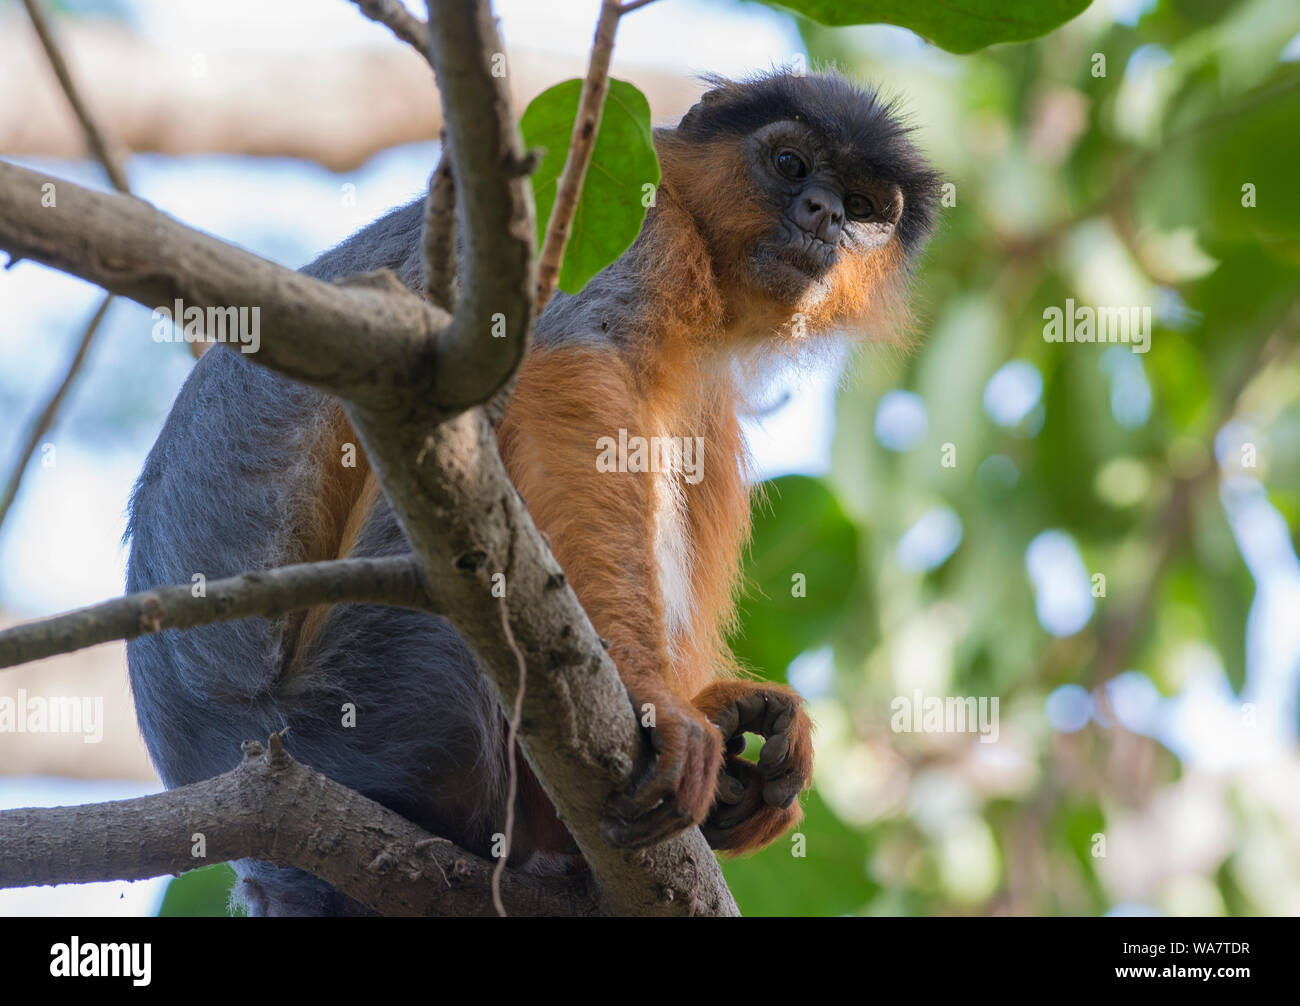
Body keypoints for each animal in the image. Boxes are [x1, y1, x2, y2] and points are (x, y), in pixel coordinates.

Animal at [124, 69, 939, 915]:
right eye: (788, 164)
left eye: (865, 207)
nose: (825, 215)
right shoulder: (629, 231)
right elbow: (562, 390)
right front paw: (658, 701)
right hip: (369, 696)